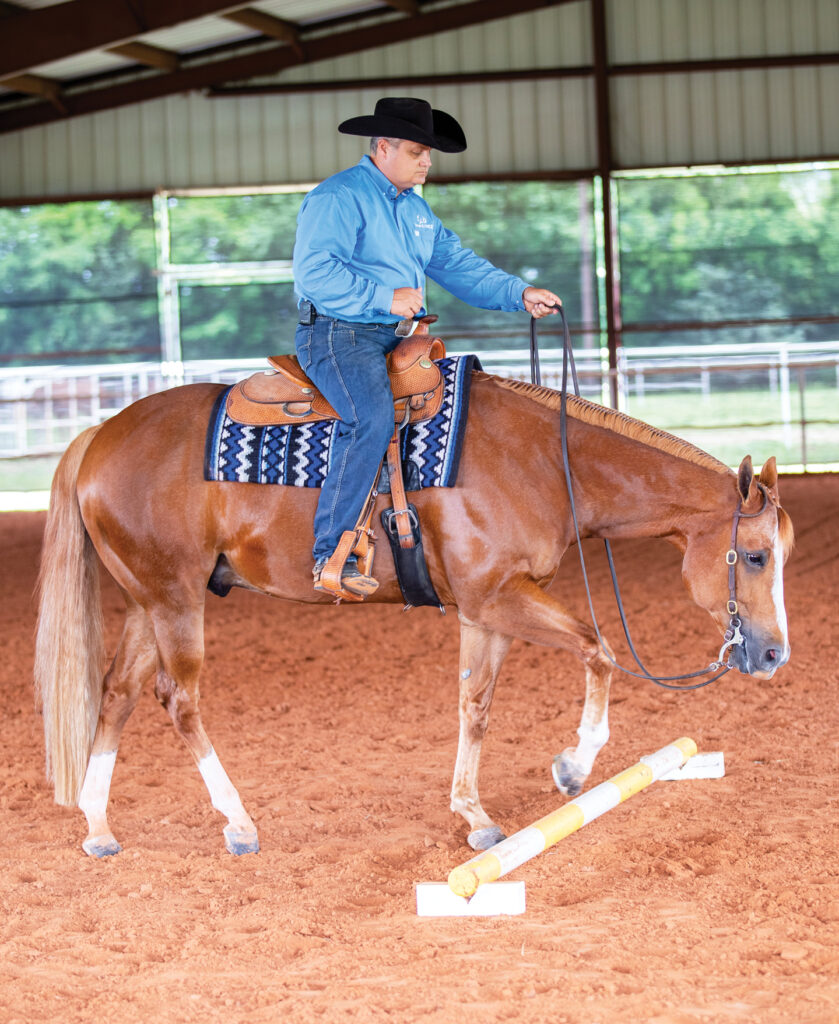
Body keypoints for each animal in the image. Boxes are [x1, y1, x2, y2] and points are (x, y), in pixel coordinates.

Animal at [34, 369, 793, 858]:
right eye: (755, 555)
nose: (773, 653)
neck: (543, 461)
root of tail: (99, 436)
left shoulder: (485, 610)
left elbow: (474, 706)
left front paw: (474, 815)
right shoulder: (498, 595)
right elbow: (597, 648)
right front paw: (572, 769)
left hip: (147, 599)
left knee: (118, 693)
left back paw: (99, 828)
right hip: (175, 597)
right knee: (180, 699)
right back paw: (240, 824)